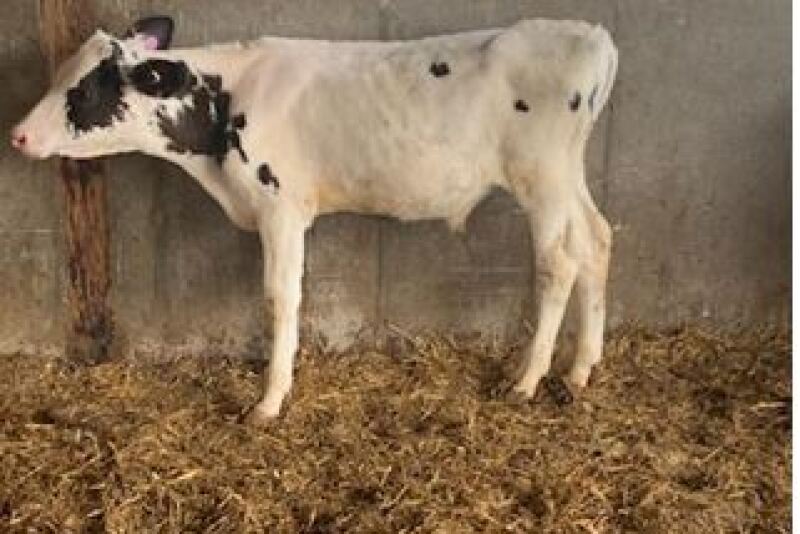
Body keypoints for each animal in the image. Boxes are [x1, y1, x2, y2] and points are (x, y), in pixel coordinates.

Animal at [12, 16, 618, 426]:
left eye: (88, 86)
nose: (18, 134)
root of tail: (586, 32)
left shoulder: (281, 208)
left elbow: (281, 299)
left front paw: (269, 400)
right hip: (568, 174)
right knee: (597, 241)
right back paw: (580, 369)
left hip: (540, 177)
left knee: (558, 262)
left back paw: (527, 379)